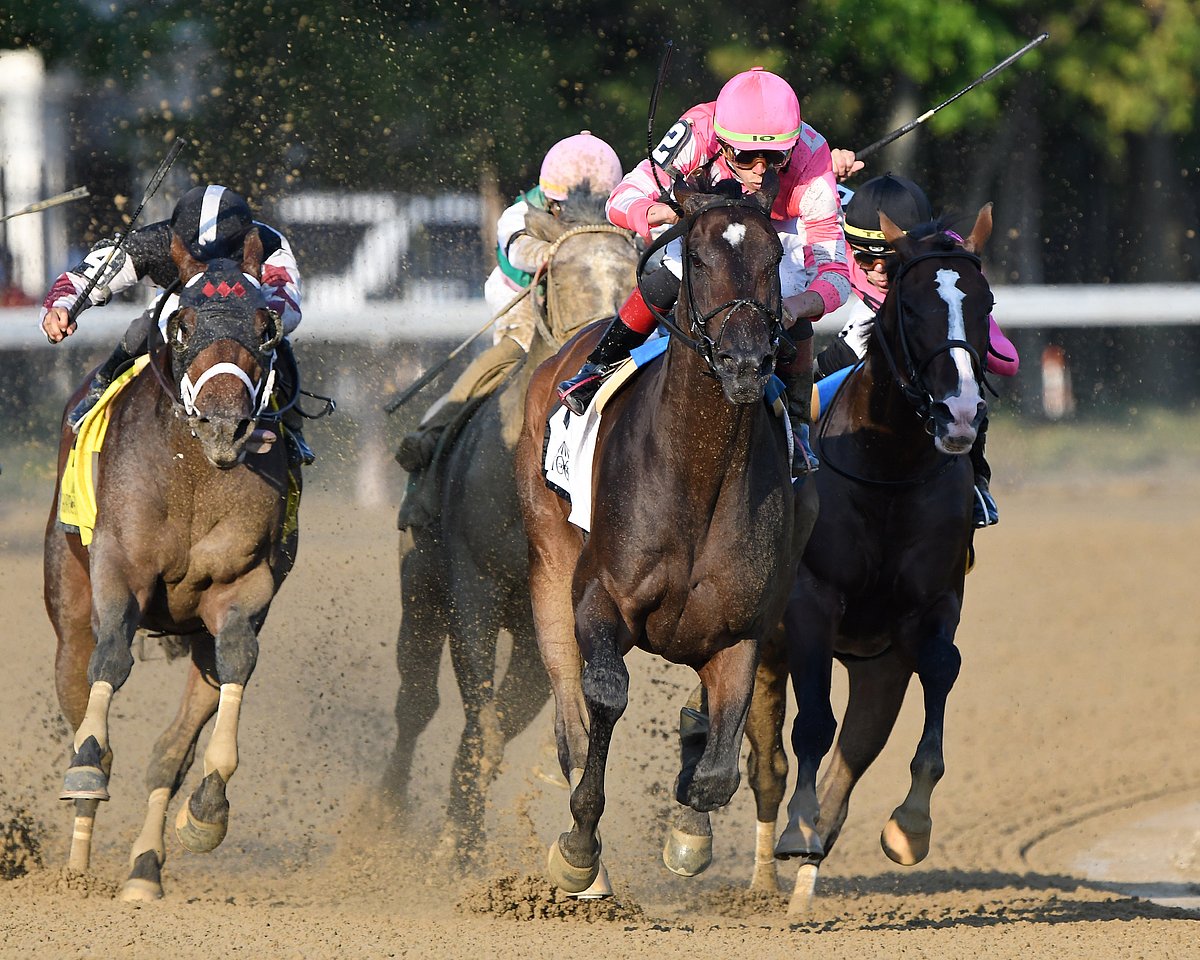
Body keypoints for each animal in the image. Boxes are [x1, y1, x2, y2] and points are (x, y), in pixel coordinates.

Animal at [44, 229, 299, 901]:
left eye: (266, 325)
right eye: (182, 323)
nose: (224, 424)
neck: (193, 473)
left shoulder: (243, 587)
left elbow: (235, 662)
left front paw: (208, 810)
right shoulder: (119, 567)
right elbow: (111, 659)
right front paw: (85, 766)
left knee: (169, 754)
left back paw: (142, 869)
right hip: (67, 605)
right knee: (81, 674)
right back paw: (76, 866)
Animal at [382, 192, 639, 866]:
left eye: (635, 277)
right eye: (560, 278)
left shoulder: (547, 624)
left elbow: (511, 718)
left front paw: (462, 834)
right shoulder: (472, 588)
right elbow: (481, 720)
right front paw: (454, 839)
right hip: (419, 587)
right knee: (415, 701)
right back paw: (385, 811)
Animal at [514, 174, 818, 895]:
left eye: (774, 259)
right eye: (699, 259)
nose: (744, 363)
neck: (695, 473)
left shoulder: (742, 630)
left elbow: (715, 772)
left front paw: (688, 825)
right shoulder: (598, 597)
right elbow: (603, 695)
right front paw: (577, 848)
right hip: (546, 563)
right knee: (569, 705)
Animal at [751, 206, 995, 912]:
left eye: (985, 303)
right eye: (910, 308)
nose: (961, 413)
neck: (888, 467)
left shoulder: (933, 602)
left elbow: (941, 669)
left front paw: (910, 826)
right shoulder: (811, 600)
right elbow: (810, 725)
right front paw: (797, 830)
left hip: (877, 664)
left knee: (856, 748)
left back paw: (805, 875)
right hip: (767, 645)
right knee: (765, 759)